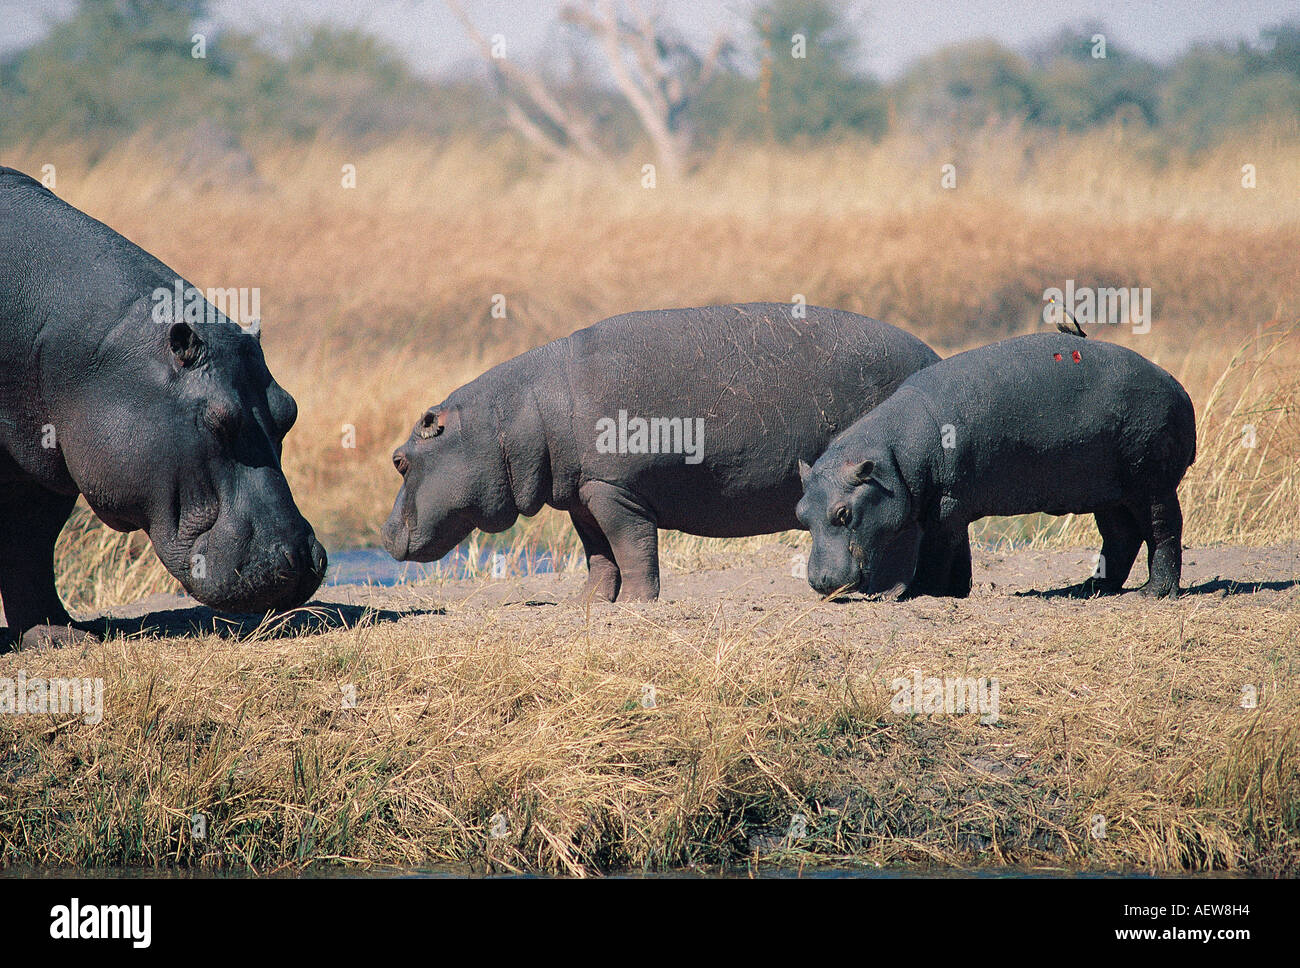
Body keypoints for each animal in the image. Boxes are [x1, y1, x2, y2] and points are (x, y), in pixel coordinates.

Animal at [0, 167, 326, 647]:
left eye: (289, 411)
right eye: (217, 422)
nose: (303, 559)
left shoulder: (43, 465)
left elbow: (30, 544)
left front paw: (60, 635)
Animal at [383, 303, 972, 601]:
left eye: (400, 460)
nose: (384, 534)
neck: (513, 417)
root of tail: (933, 354)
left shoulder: (616, 491)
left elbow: (632, 547)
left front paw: (638, 606)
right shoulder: (583, 495)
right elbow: (598, 555)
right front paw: (593, 607)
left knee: (910, 530)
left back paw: (895, 592)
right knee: (951, 531)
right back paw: (947, 592)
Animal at [797, 332, 1196, 598]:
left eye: (844, 513)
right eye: (801, 514)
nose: (819, 582)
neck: (890, 459)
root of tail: (1177, 385)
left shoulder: (947, 503)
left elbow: (935, 550)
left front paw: (916, 592)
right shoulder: (948, 505)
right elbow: (955, 547)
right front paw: (955, 592)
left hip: (1152, 483)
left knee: (1163, 531)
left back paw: (1153, 593)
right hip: (1109, 491)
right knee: (1120, 536)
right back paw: (1089, 588)